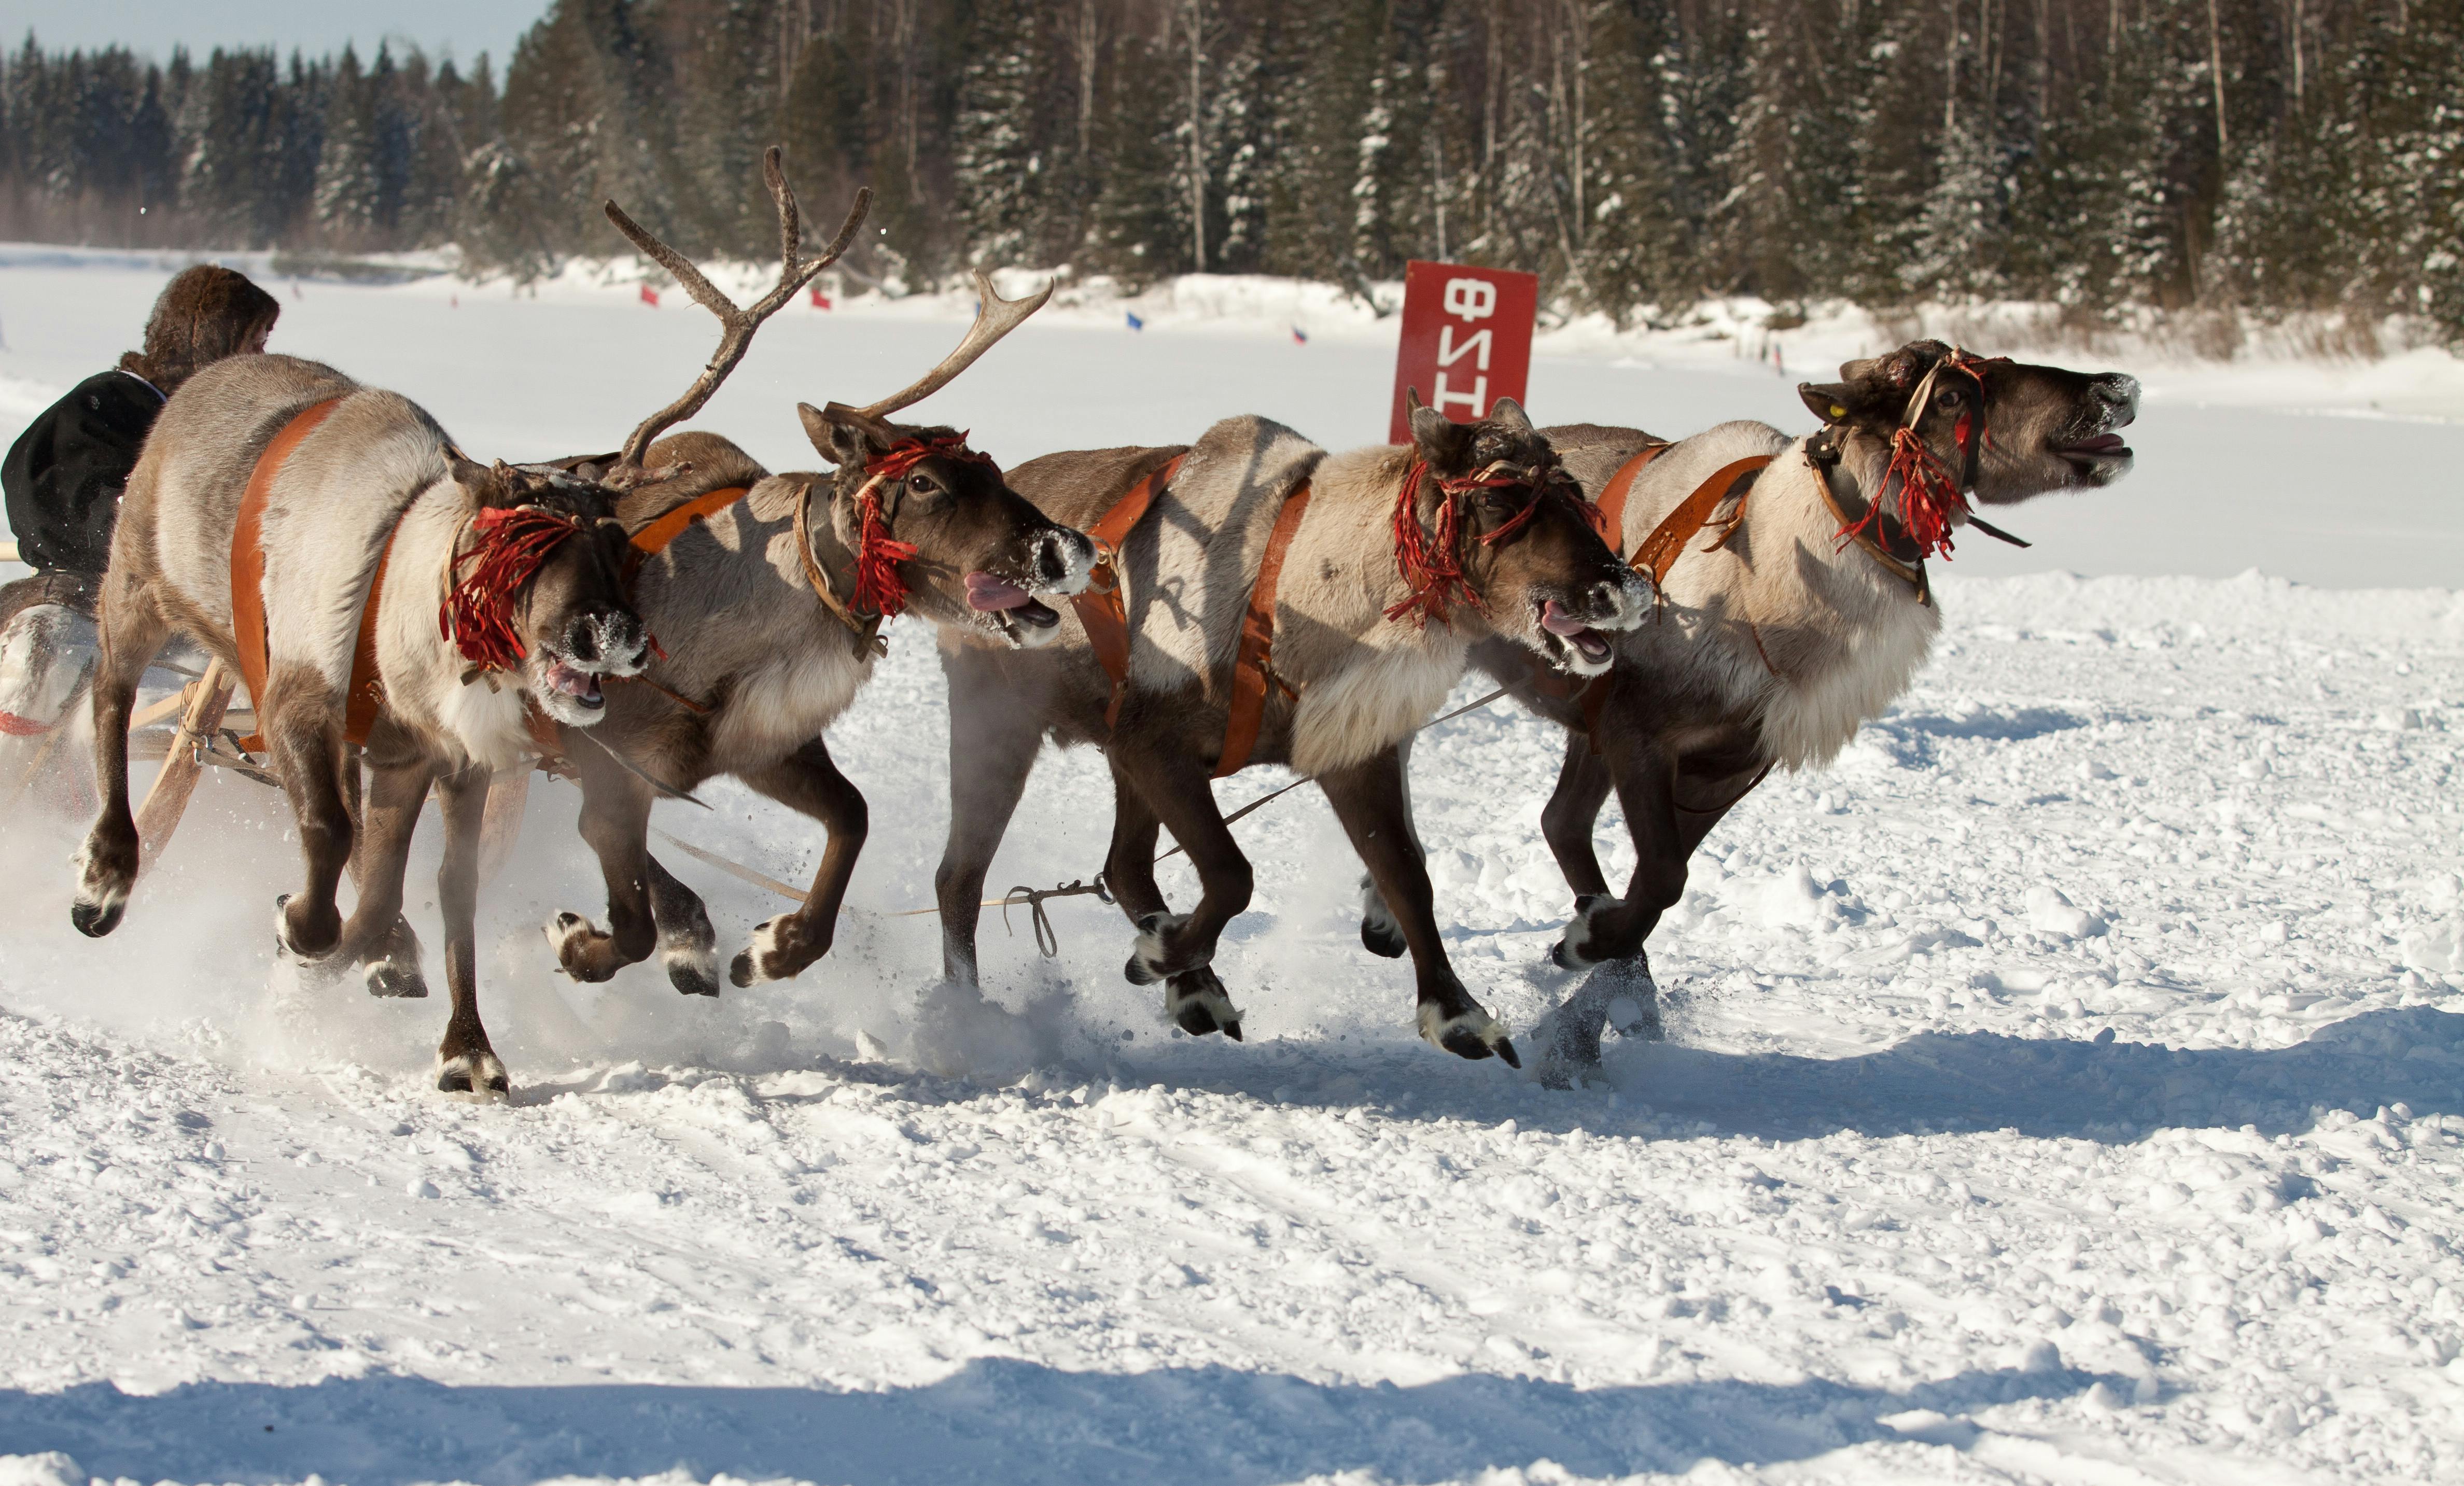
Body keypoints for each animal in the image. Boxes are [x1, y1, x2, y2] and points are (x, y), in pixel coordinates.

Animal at [68, 355, 661, 1096]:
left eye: (621, 543)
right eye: (527, 542)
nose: (623, 640)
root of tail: (201, 379)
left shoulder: (432, 761)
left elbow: (428, 890)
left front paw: (463, 1046)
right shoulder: (293, 703)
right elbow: (329, 832)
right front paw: (299, 937)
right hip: (139, 589)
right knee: (112, 700)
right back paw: (105, 877)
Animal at [518, 153, 1098, 999]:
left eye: (990, 468)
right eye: (924, 481)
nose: (1069, 547)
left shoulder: (767, 744)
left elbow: (853, 817)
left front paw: (774, 948)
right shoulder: (605, 757)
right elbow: (625, 903)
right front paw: (597, 940)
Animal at [933, 396, 1650, 1068]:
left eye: (1577, 493)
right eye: (1499, 496)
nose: (1628, 589)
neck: (1301, 598)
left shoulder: (1350, 756)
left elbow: (1408, 876)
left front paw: (1457, 1013)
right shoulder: (1156, 746)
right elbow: (1233, 873)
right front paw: (1159, 955)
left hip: (1107, 758)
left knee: (1123, 864)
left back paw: (1194, 990)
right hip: (998, 727)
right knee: (960, 878)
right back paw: (970, 1019)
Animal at [1357, 340, 2141, 1081]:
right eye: (1949, 395)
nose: (2118, 386)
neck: (1781, 588)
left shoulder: (1724, 766)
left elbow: (1658, 887)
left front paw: (1590, 999)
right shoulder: (1639, 732)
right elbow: (1662, 877)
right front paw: (1588, 951)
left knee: (1559, 820)